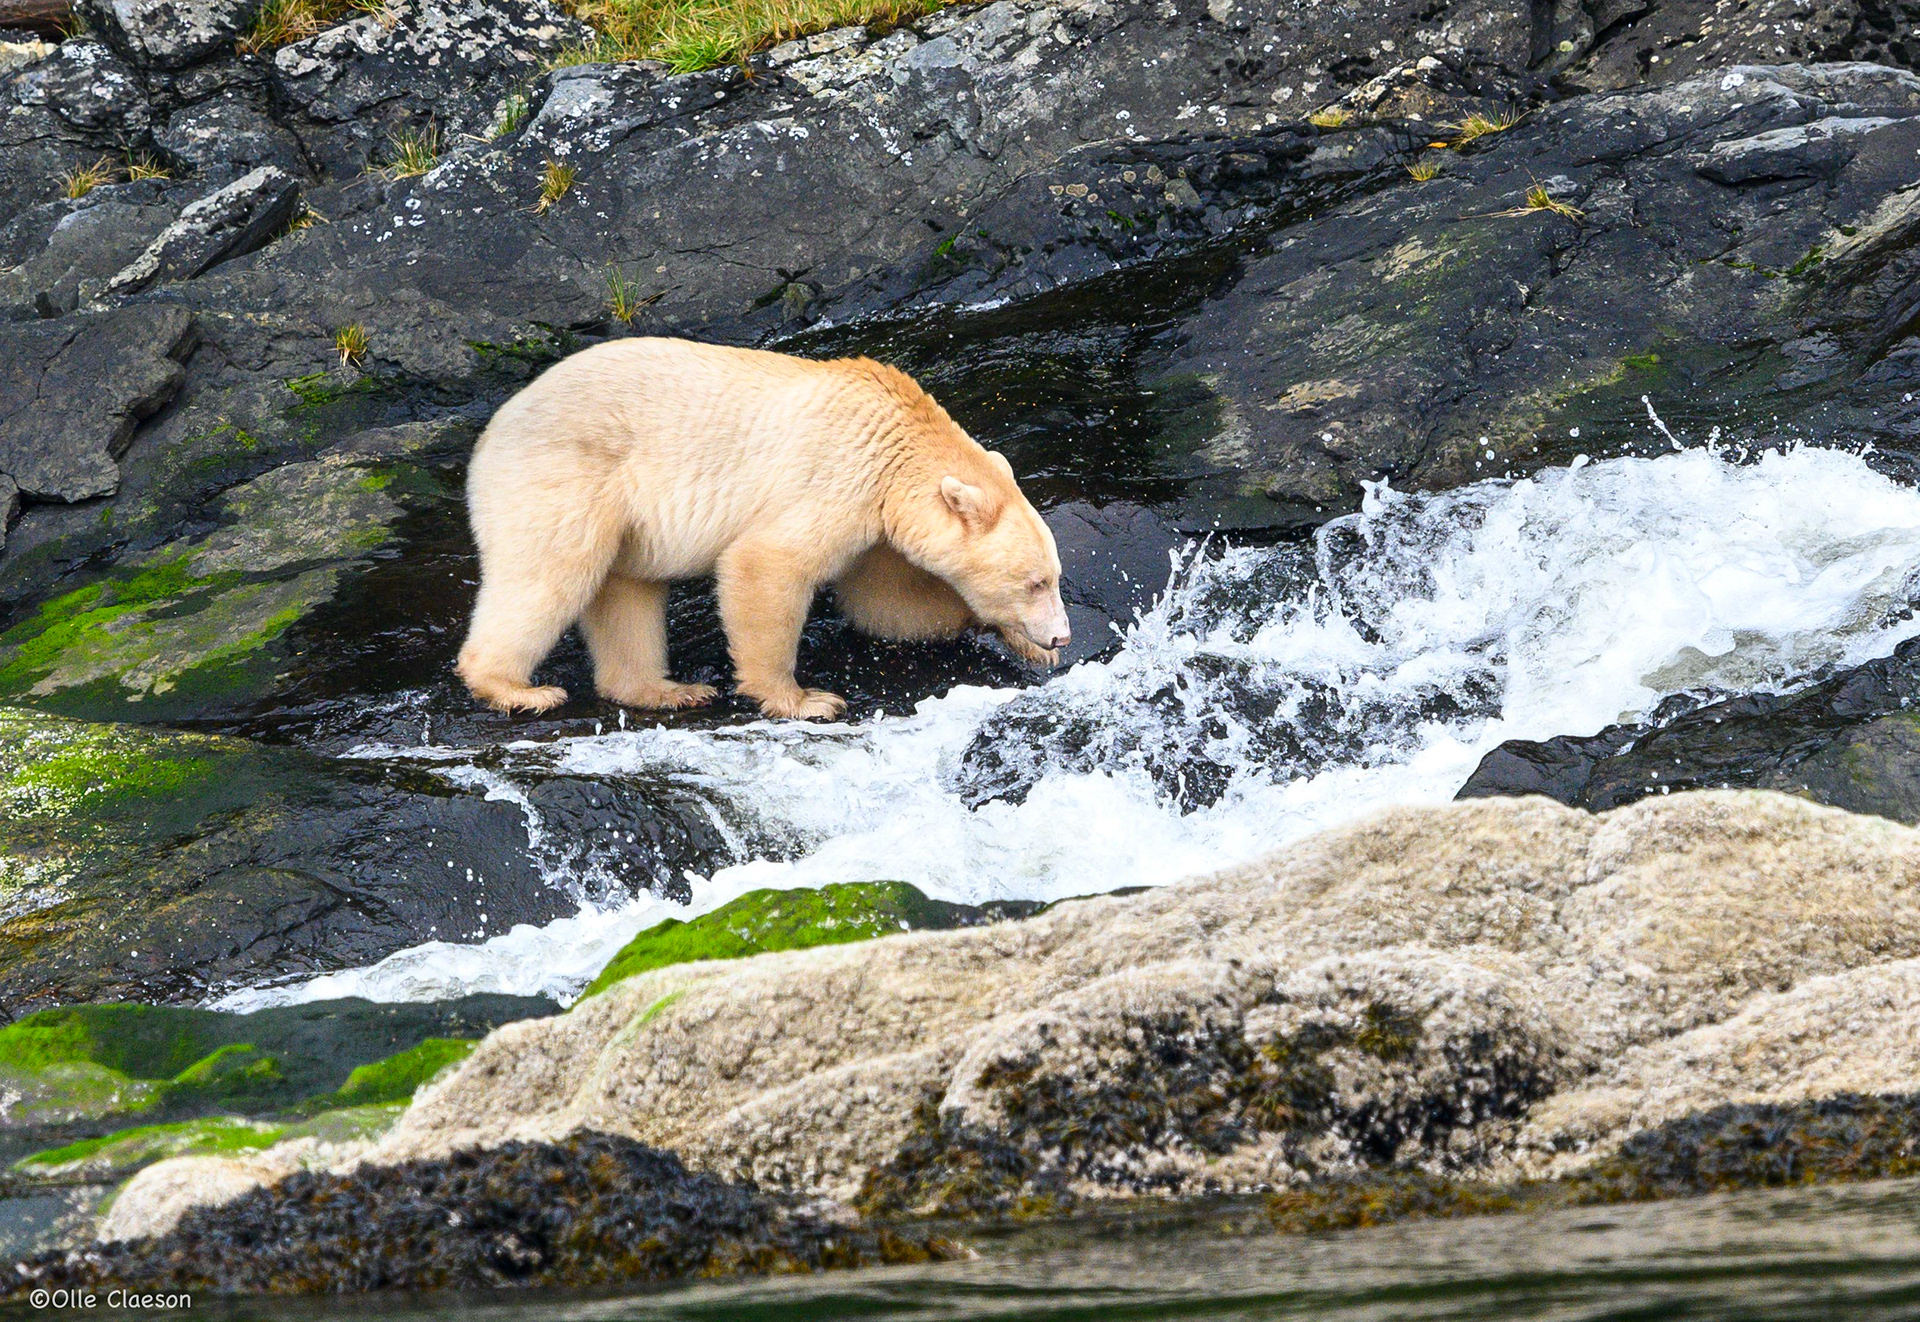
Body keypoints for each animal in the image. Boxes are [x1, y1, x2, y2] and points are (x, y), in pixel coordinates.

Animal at [455, 336, 1071, 719]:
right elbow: (766, 563)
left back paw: (669, 689)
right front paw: (805, 699)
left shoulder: (876, 528)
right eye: (1036, 581)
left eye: (1054, 576)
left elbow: (886, 604)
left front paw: (1020, 641)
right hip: (566, 478)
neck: (894, 441)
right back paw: (518, 689)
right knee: (550, 575)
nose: (1063, 635)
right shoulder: (836, 479)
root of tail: (489, 435)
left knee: (626, 592)